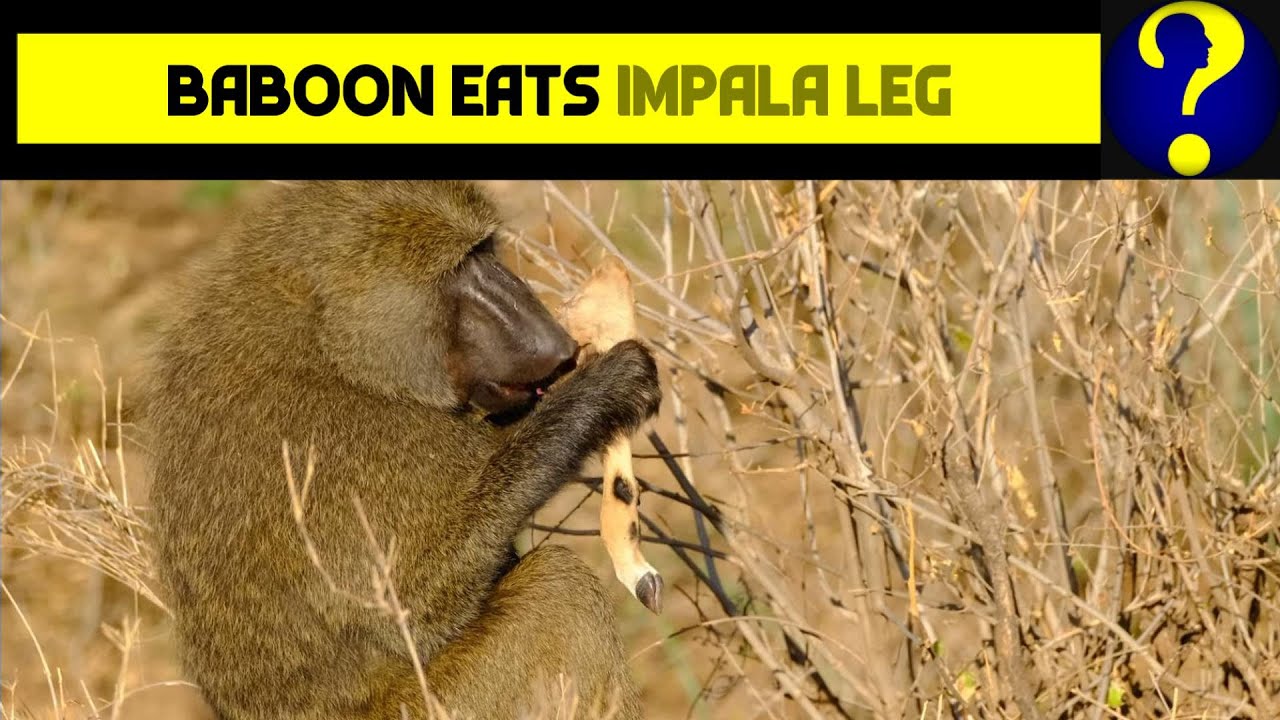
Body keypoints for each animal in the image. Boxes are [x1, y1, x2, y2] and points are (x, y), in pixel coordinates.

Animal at [140, 180, 662, 720]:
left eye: (486, 250)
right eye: (462, 265)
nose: (557, 345)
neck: (327, 345)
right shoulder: (341, 447)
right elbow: (417, 606)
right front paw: (601, 393)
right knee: (560, 588)